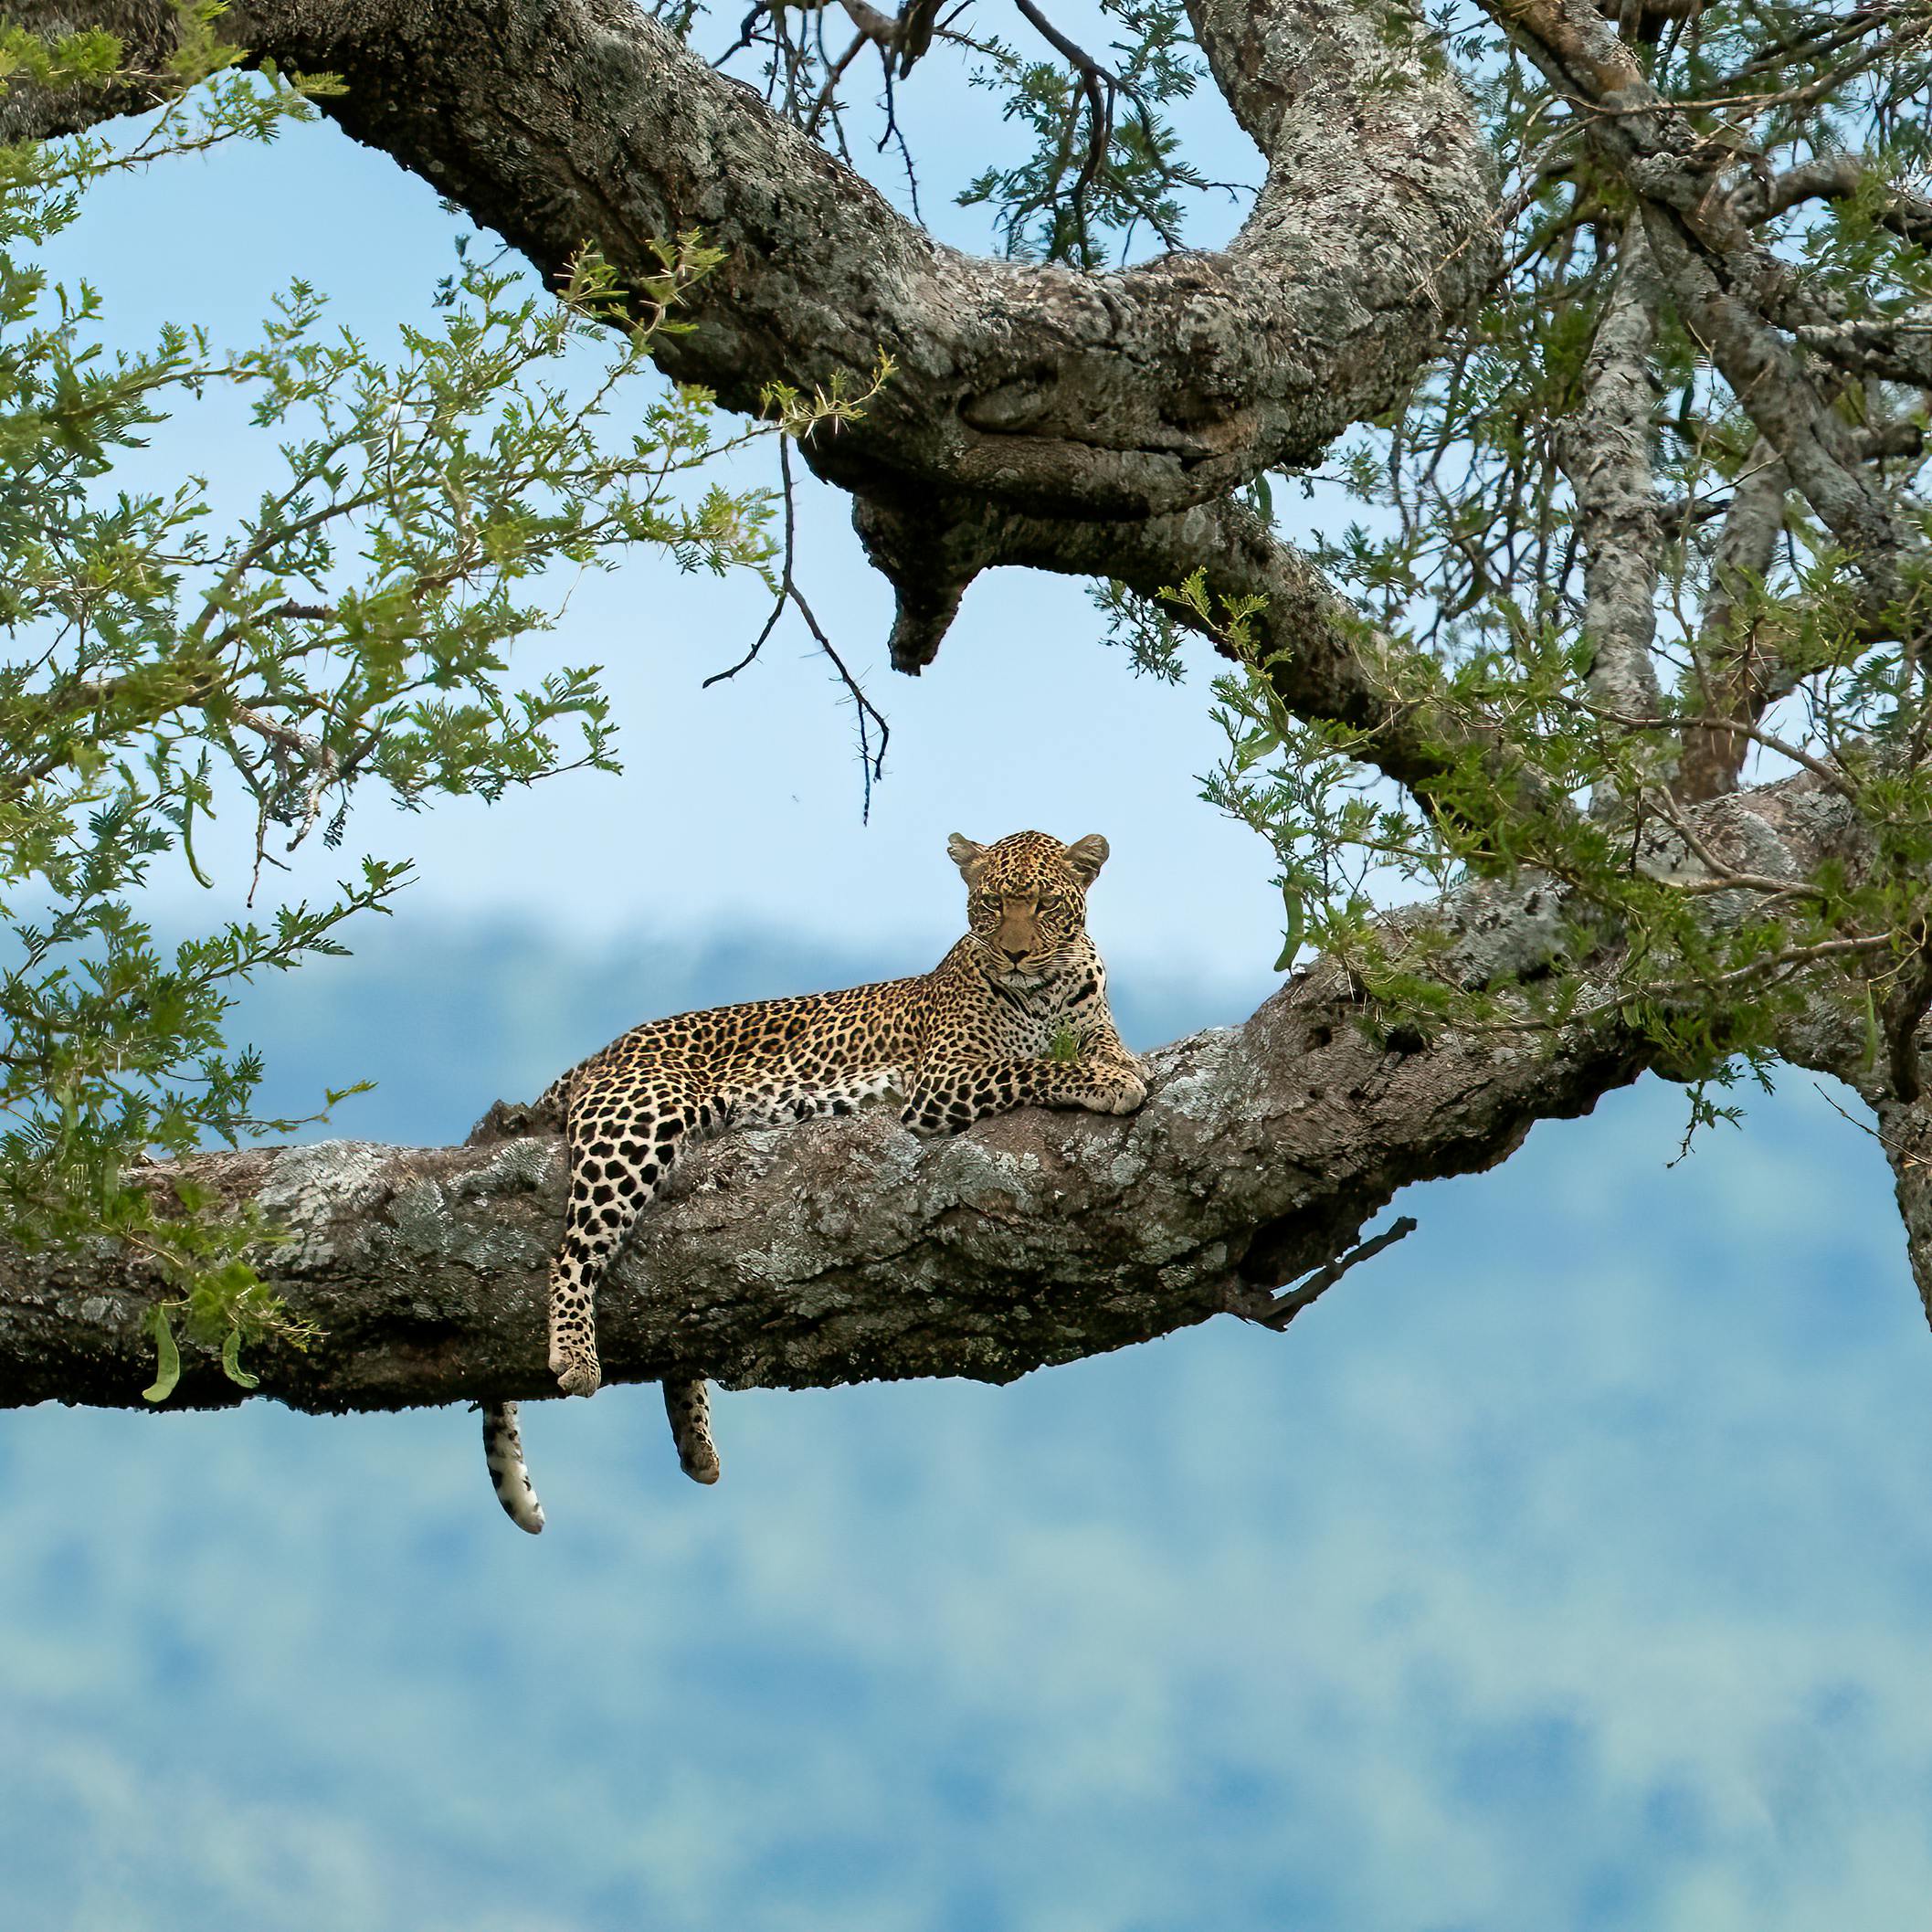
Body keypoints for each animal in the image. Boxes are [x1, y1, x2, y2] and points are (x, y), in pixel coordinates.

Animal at [478, 830, 1147, 1533]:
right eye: (991, 903)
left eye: (1044, 904)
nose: (1015, 953)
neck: (1046, 991)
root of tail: (601, 1054)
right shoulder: (944, 1078)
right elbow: (1034, 1067)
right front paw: (1108, 1082)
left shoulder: (1086, 1025)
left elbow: (1099, 1048)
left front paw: (1117, 1067)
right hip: (641, 1117)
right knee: (573, 1250)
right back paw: (577, 1355)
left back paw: (696, 1444)